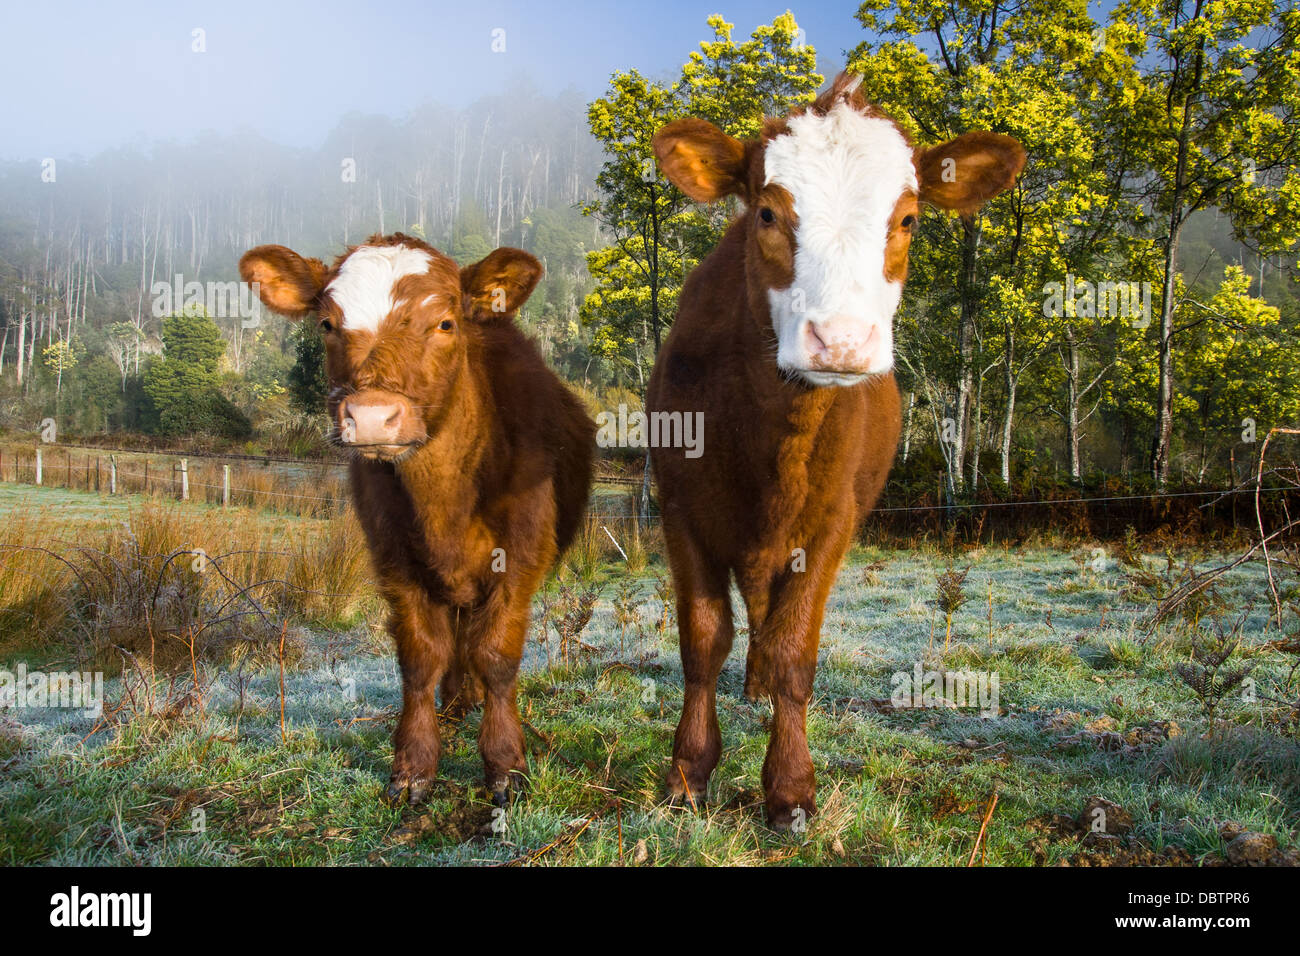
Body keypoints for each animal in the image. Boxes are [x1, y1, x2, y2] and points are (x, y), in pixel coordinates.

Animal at [240, 234, 595, 807]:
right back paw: (455, 704)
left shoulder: (520, 560)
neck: (446, 500)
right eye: (327, 323)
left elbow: (497, 655)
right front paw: (413, 765)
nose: (371, 417)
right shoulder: (394, 560)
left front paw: (504, 764)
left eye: (445, 323)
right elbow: (420, 657)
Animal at [646, 73, 1025, 828]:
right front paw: (689, 771)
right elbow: (703, 639)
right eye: (766, 212)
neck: (774, 439)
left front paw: (790, 787)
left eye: (908, 220)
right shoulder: (681, 509)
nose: (842, 340)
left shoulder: (834, 520)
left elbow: (796, 648)